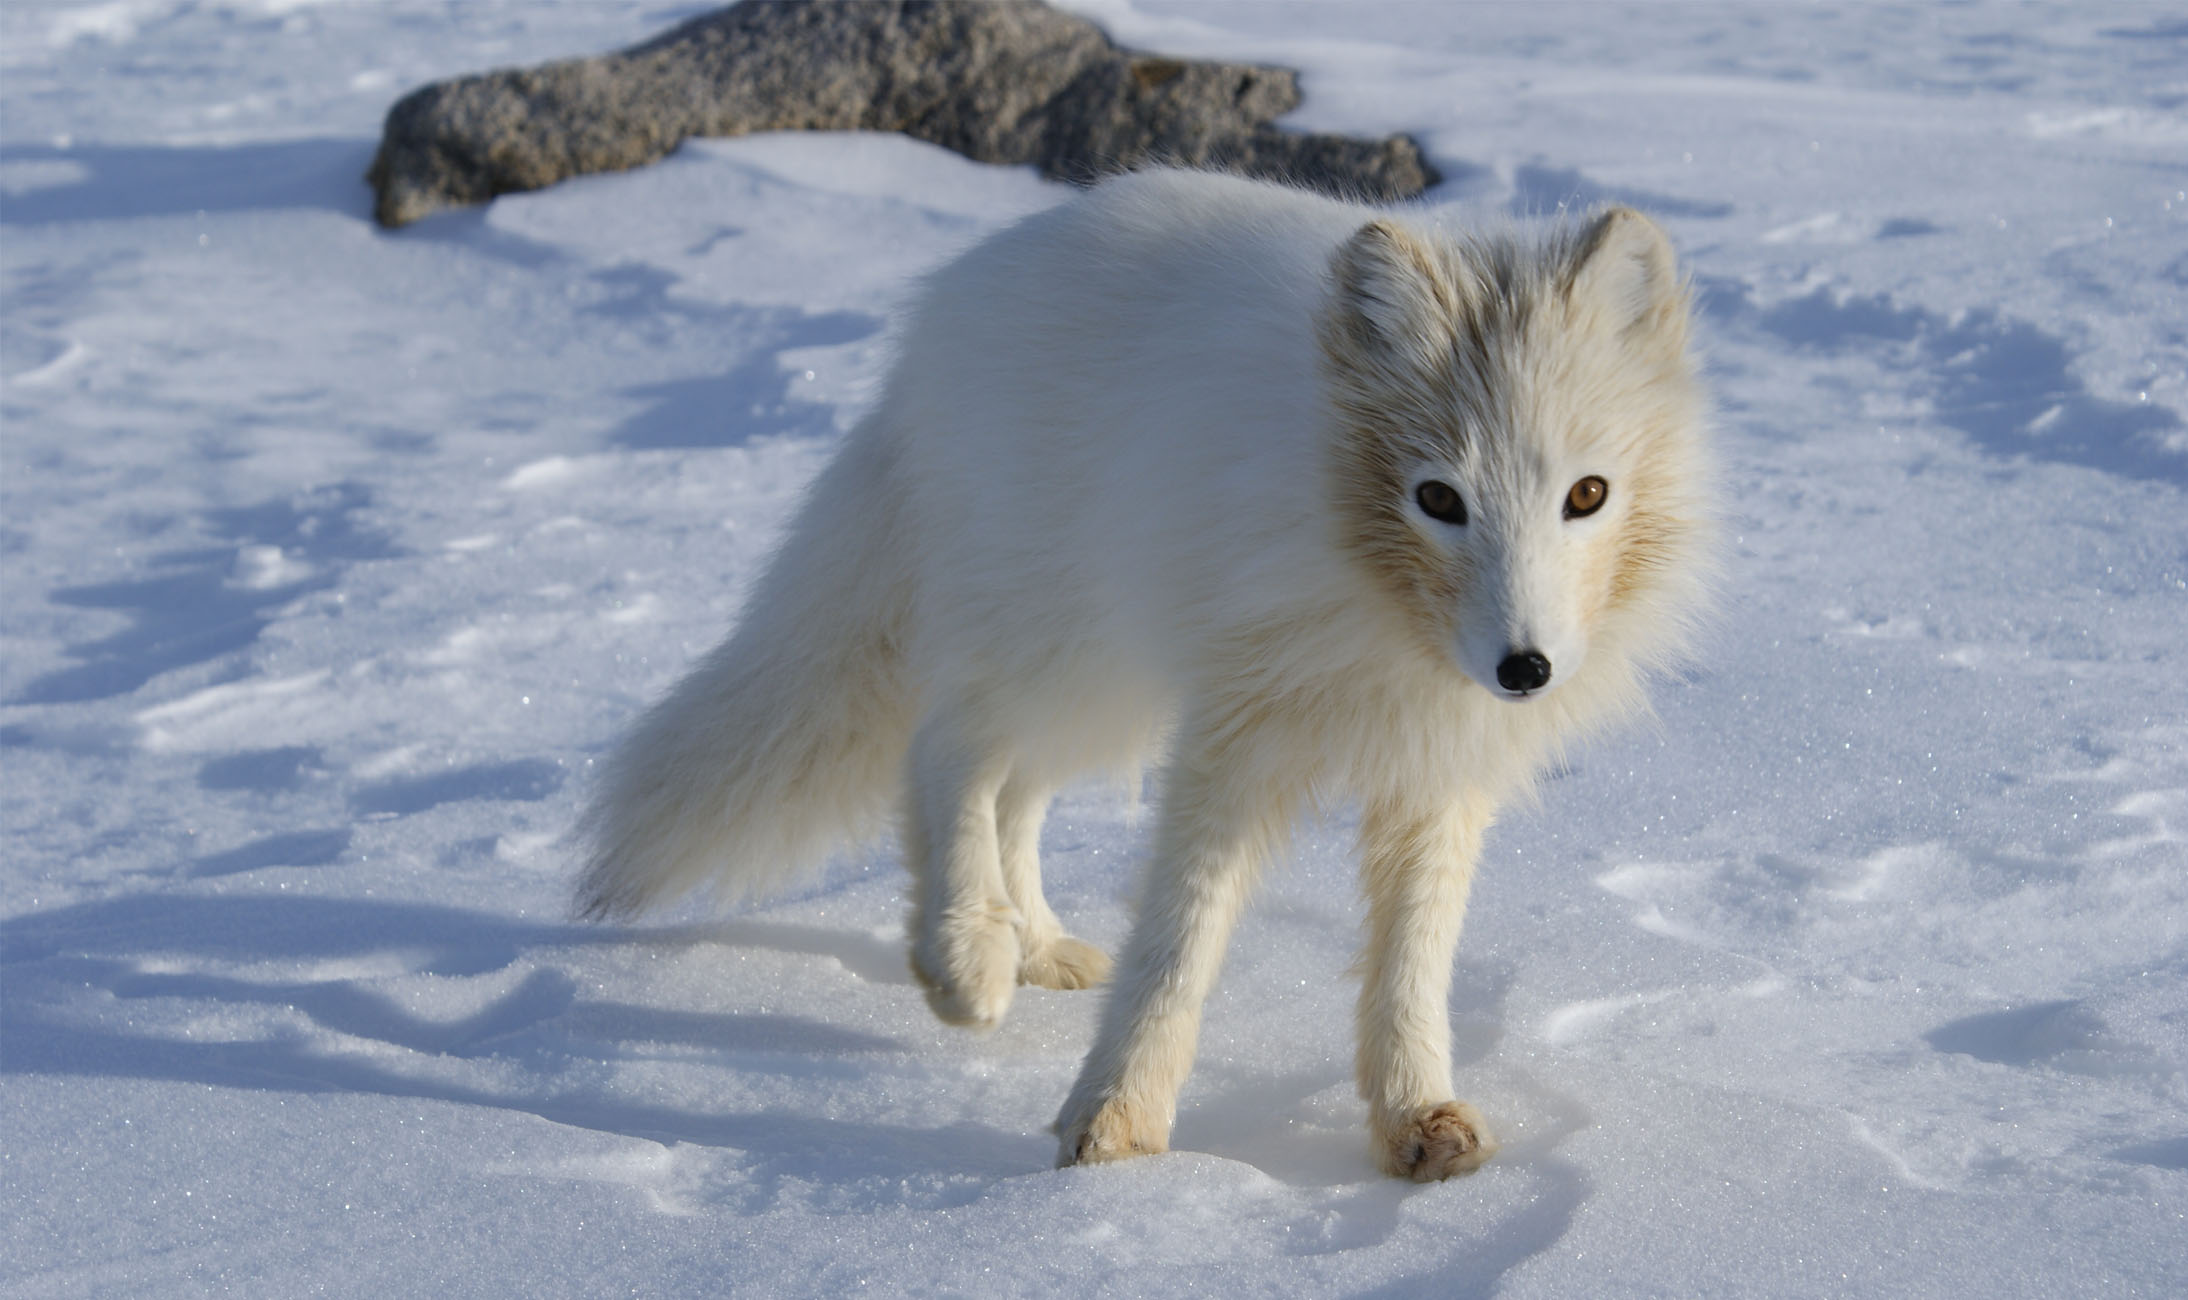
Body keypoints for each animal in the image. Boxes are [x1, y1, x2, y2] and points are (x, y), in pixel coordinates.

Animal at [575, 168, 1712, 1180]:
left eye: (1587, 494)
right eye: (1438, 498)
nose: (1525, 668)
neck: (1384, 617)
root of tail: (956, 296)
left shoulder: (1438, 768)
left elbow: (1413, 961)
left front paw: (1415, 1116)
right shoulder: (1233, 740)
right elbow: (1179, 938)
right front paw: (1116, 1122)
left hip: (1110, 687)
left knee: (1016, 790)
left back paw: (1033, 945)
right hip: (1066, 644)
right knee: (950, 747)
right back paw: (965, 957)